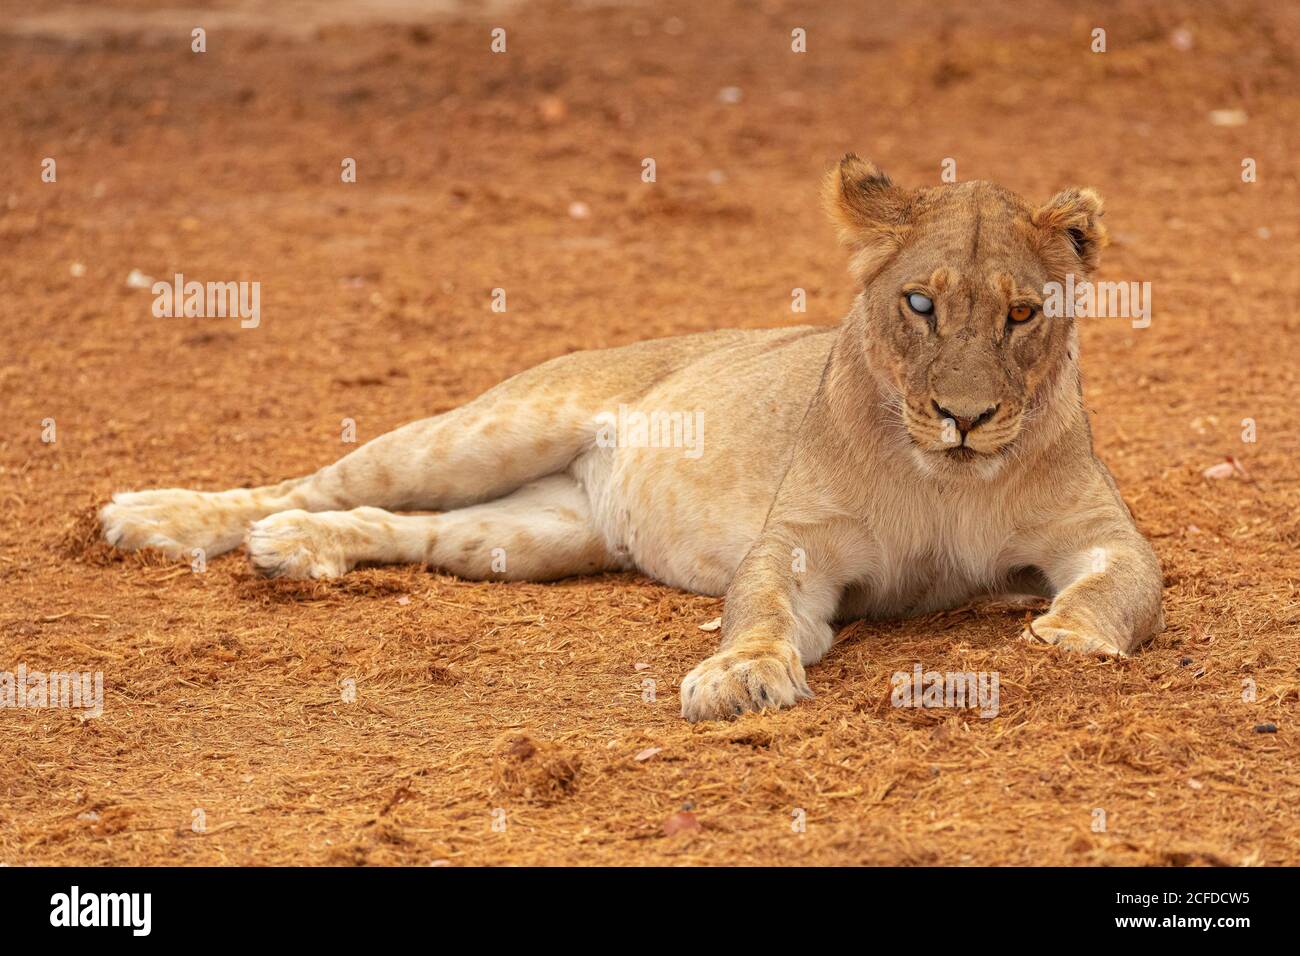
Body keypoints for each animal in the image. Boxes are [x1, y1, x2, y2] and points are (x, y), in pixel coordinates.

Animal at [99, 155, 1164, 722]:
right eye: (920, 304)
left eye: (1023, 313)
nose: (966, 418)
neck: (940, 478)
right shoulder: (796, 545)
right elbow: (761, 608)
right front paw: (739, 677)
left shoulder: (1105, 533)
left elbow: (1122, 586)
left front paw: (1067, 637)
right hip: (485, 429)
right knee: (314, 483)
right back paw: (157, 518)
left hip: (532, 535)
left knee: (404, 527)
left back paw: (298, 554)